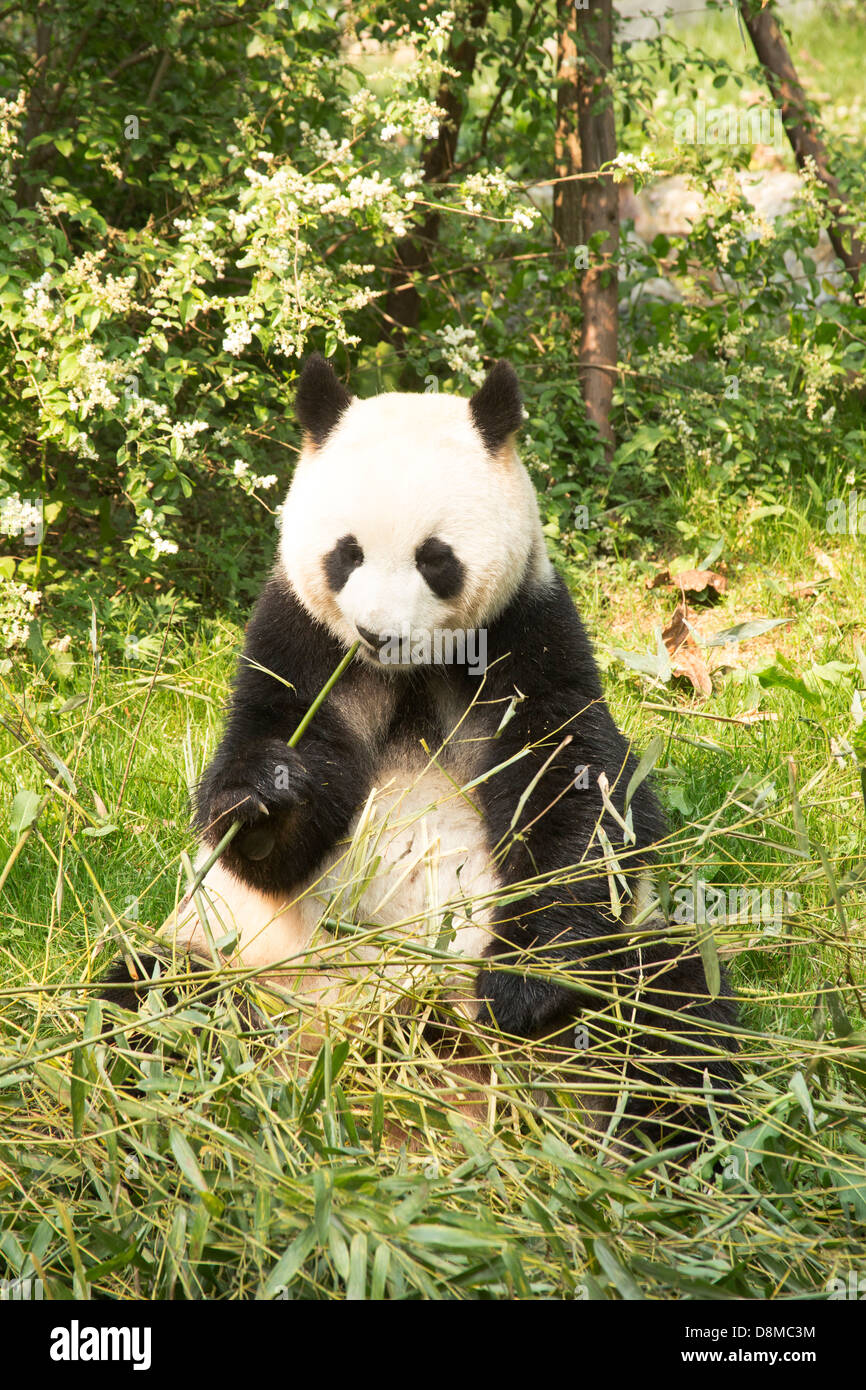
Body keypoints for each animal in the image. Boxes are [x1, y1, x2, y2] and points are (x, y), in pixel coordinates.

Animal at [104, 354, 738, 1143]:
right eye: (346, 555)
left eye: (435, 559)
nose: (379, 633)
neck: (406, 674)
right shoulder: (302, 639)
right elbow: (273, 778)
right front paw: (264, 800)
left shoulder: (527, 631)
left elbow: (574, 786)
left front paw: (523, 985)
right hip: (245, 961)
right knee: (151, 996)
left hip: (611, 979)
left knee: (672, 1007)